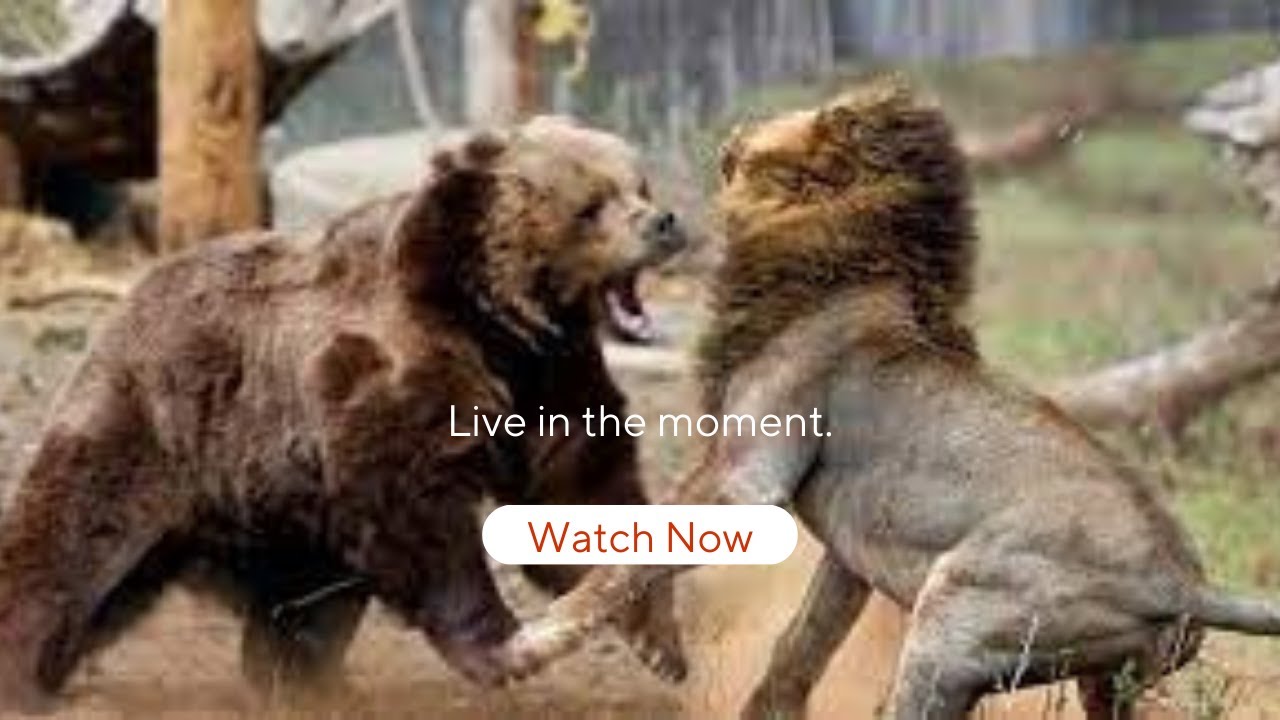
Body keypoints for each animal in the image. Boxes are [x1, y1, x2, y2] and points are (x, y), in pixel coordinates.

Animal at [0, 117, 689, 711]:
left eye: (639, 184)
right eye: (592, 203)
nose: (665, 222)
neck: (491, 317)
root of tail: (131, 297)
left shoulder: (550, 374)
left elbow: (578, 480)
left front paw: (659, 635)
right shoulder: (388, 369)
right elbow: (414, 503)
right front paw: (495, 643)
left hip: (286, 515)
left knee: (303, 607)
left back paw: (305, 683)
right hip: (154, 424)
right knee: (66, 547)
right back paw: (27, 673)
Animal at [491, 83, 1280, 719]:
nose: (737, 124)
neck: (841, 259)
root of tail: (1184, 582)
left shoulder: (749, 477)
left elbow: (627, 561)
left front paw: (523, 647)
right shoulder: (849, 549)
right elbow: (801, 644)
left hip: (953, 620)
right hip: (1102, 679)